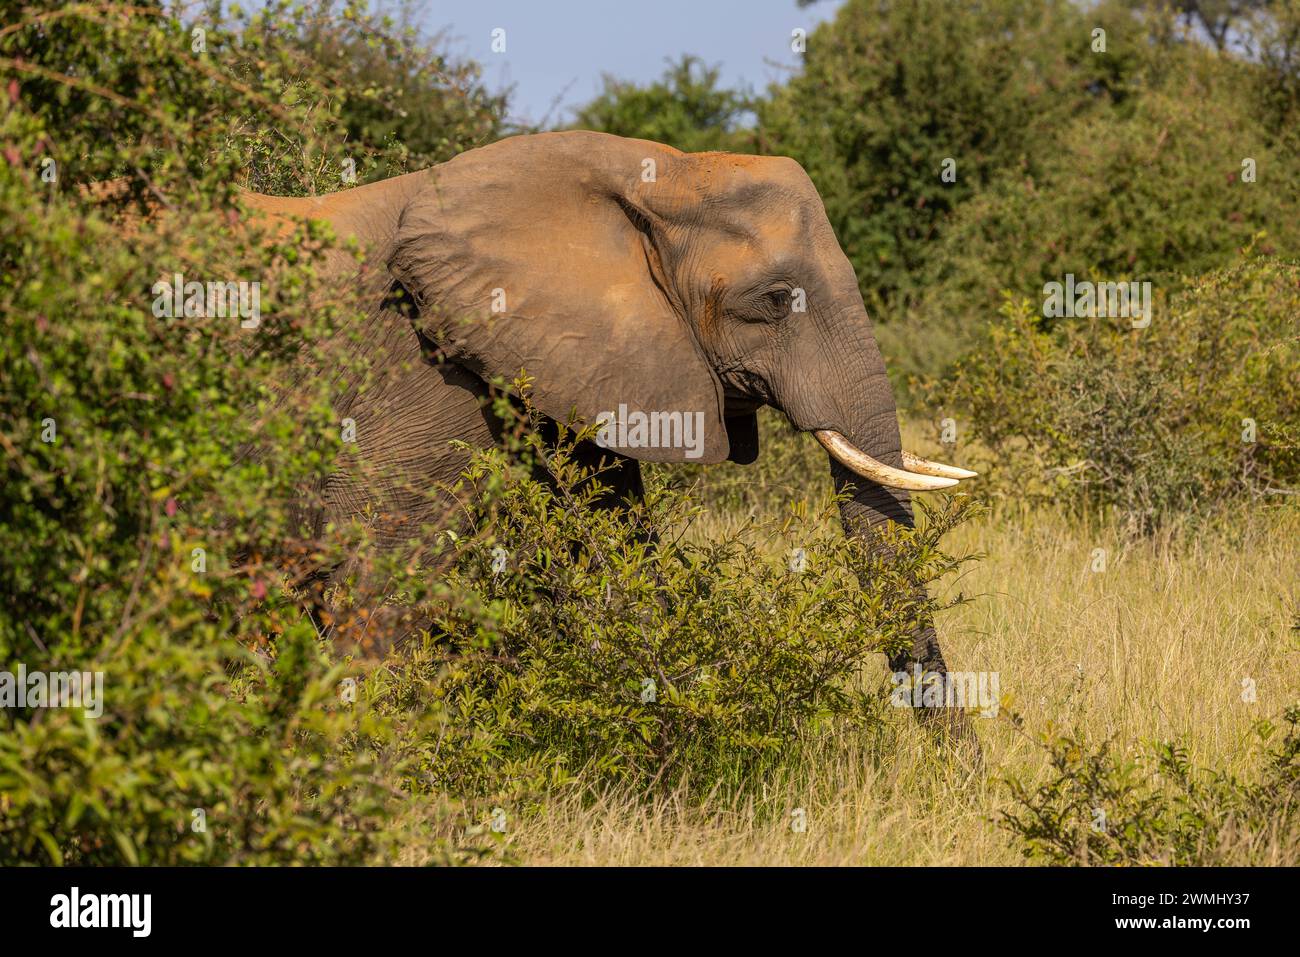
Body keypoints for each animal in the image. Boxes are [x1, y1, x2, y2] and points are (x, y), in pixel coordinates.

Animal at [241, 131, 978, 742]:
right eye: (774, 300)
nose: (959, 771)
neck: (655, 174)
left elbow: (615, 546)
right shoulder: (427, 370)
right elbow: (380, 583)